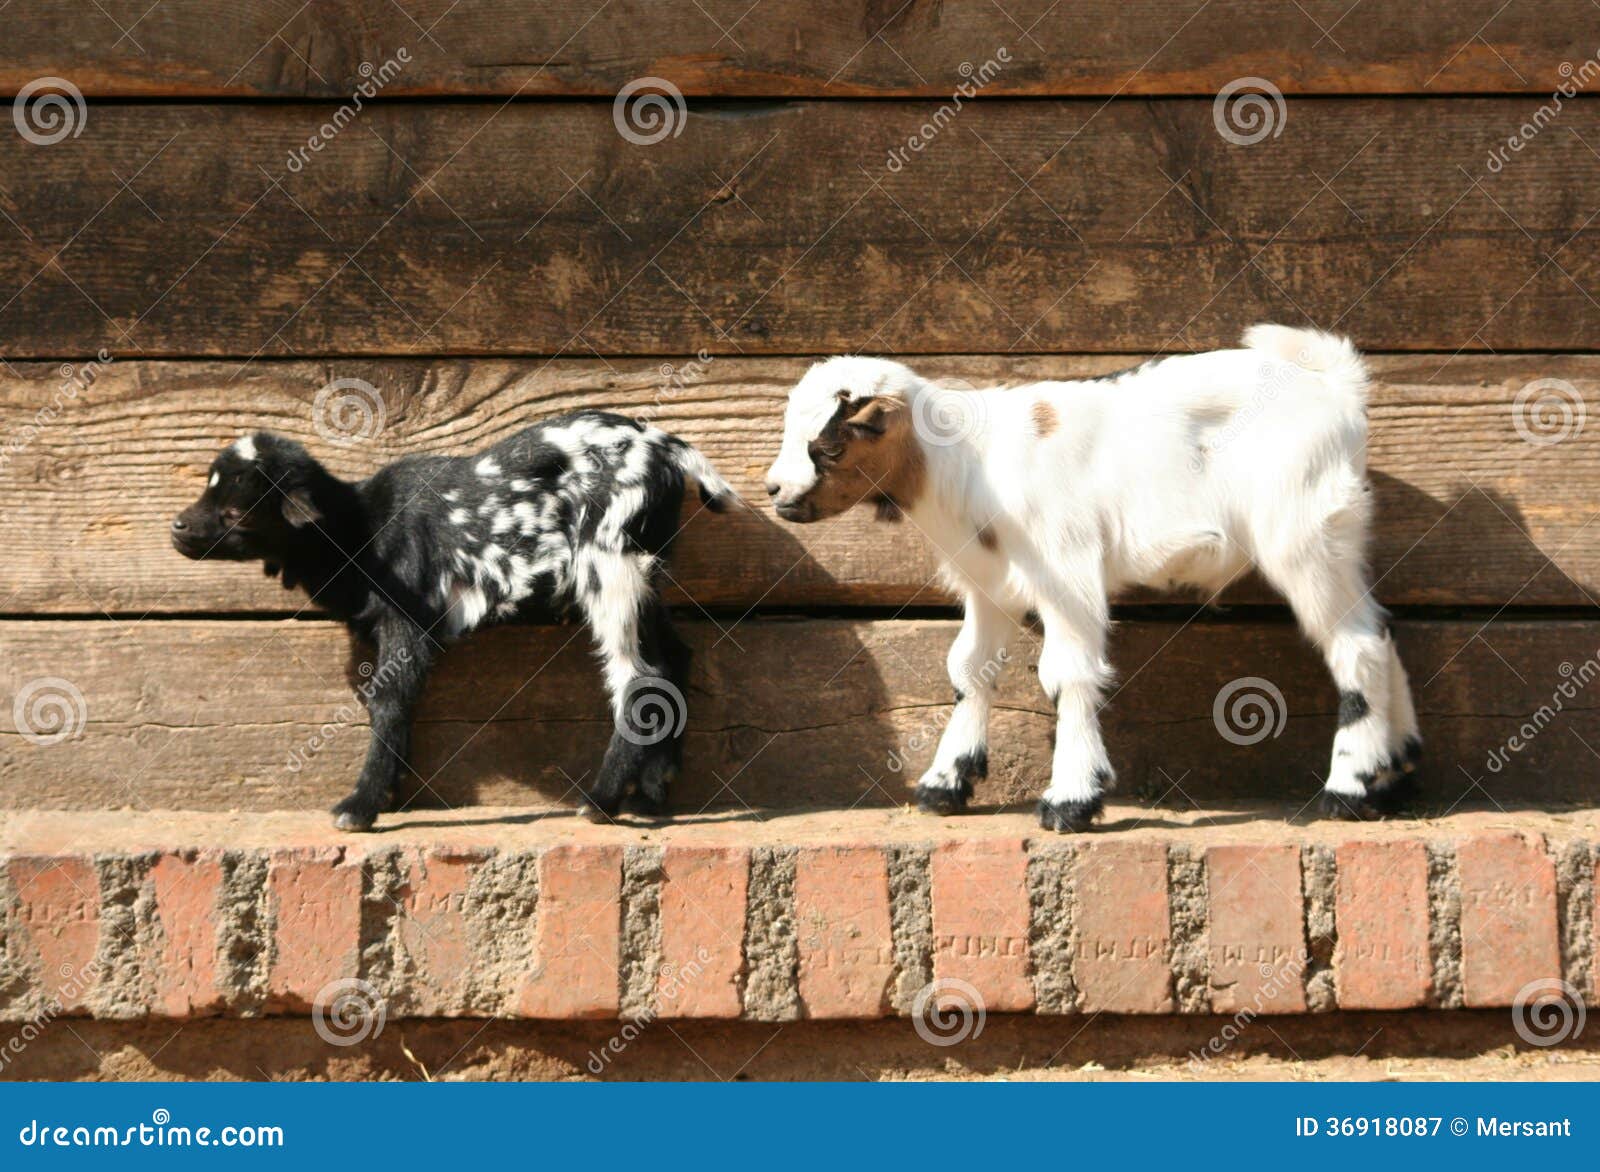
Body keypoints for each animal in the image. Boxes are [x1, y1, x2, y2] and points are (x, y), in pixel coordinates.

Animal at [171, 411, 735, 831]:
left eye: (237, 511)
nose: (178, 527)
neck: (362, 528)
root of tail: (668, 447)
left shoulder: (407, 617)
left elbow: (389, 699)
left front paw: (360, 806)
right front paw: (391, 791)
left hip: (610, 562)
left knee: (638, 678)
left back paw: (600, 801)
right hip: (645, 573)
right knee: (672, 660)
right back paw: (653, 793)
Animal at [765, 325, 1420, 830]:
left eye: (826, 446)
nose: (774, 492)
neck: (967, 460)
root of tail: (1335, 385)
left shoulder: (1066, 571)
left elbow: (1067, 675)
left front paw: (1070, 799)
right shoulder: (988, 584)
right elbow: (967, 670)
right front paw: (945, 783)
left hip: (1303, 536)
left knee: (1356, 647)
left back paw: (1348, 790)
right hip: (1338, 541)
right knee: (1381, 631)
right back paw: (1397, 772)